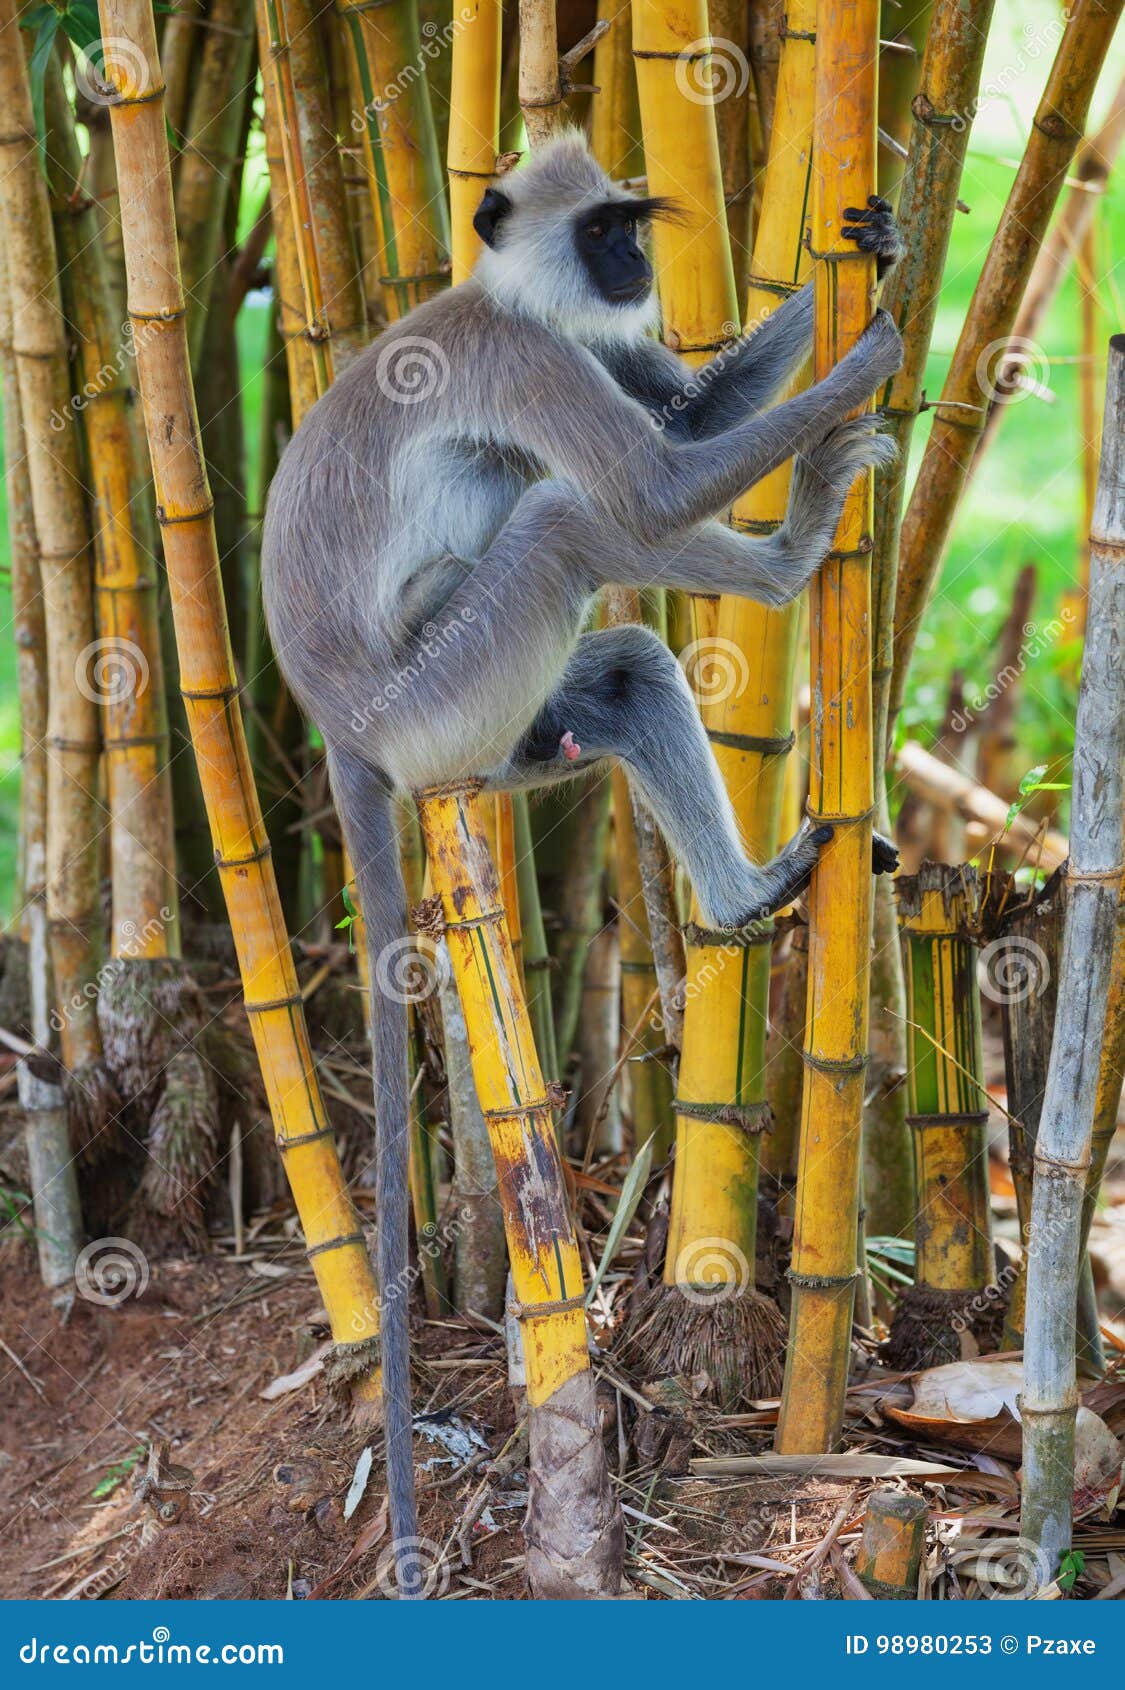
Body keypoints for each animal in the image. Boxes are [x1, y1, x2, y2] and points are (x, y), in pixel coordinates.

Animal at [260, 133, 905, 1597]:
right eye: (604, 229)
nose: (639, 259)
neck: (511, 296)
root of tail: (344, 725)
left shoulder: (586, 343)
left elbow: (695, 412)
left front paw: (876, 247)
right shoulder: (524, 358)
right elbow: (654, 484)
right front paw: (870, 354)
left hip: (488, 733)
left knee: (619, 663)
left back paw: (739, 895)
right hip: (447, 695)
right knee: (565, 519)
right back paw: (790, 557)